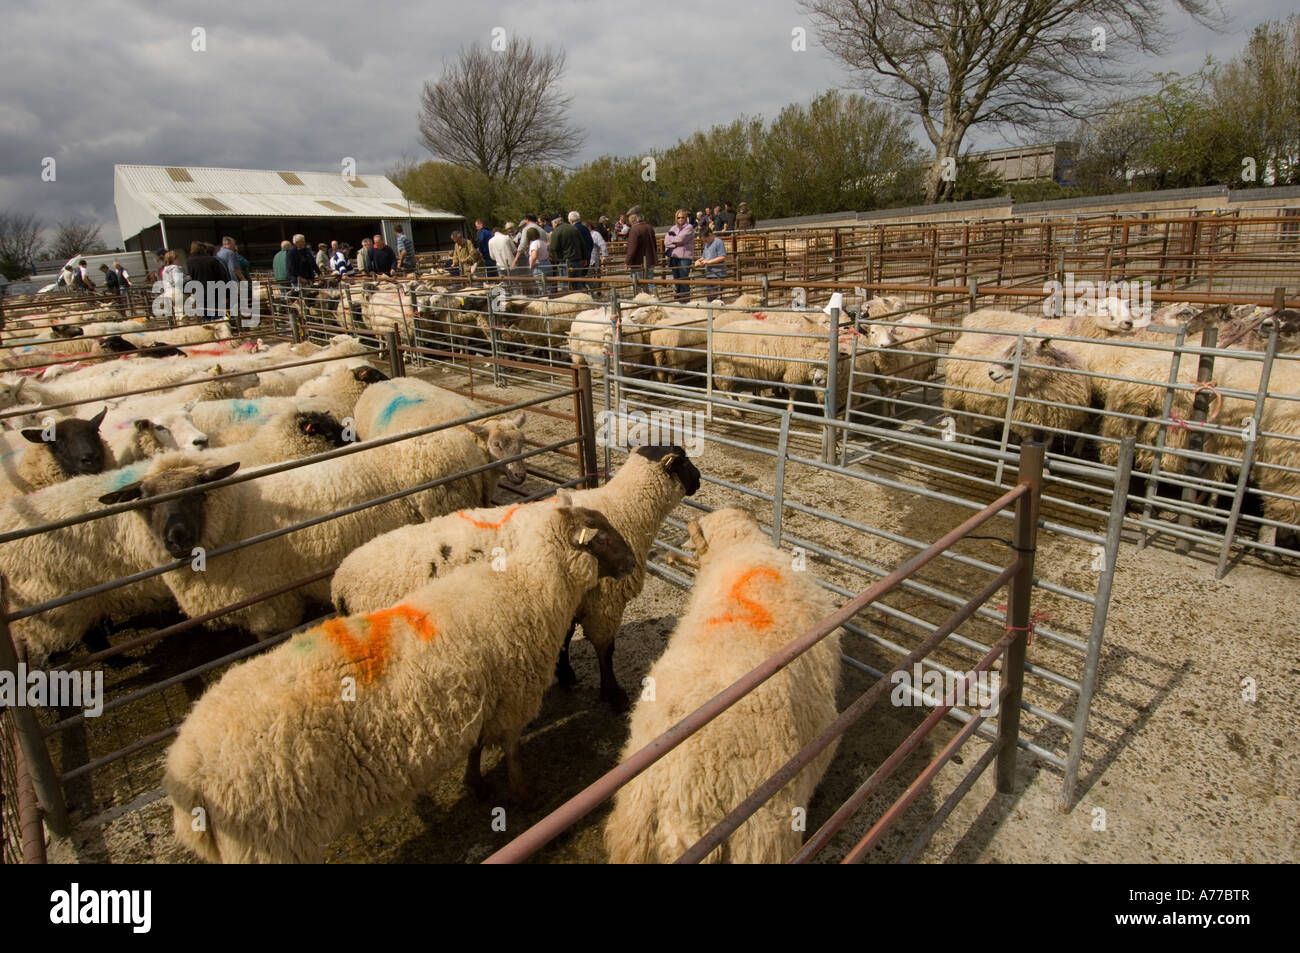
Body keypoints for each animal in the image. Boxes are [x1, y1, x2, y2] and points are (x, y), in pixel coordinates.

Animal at [99, 420, 505, 637]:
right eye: (146, 503)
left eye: (199, 493)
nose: (176, 539)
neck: (234, 516)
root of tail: (459, 443)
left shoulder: (272, 609)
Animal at [163, 496, 636, 864]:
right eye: (602, 536)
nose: (633, 562)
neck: (529, 585)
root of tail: (187, 772)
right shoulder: (510, 697)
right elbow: (512, 749)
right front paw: (522, 795)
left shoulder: (479, 697)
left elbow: (476, 746)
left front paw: (476, 785)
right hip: (269, 841)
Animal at [330, 444, 702, 710]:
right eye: (684, 462)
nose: (699, 479)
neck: (627, 508)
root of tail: (340, 584)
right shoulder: (604, 602)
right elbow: (605, 651)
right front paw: (613, 695)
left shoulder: (567, 595)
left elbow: (565, 638)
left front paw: (565, 673)